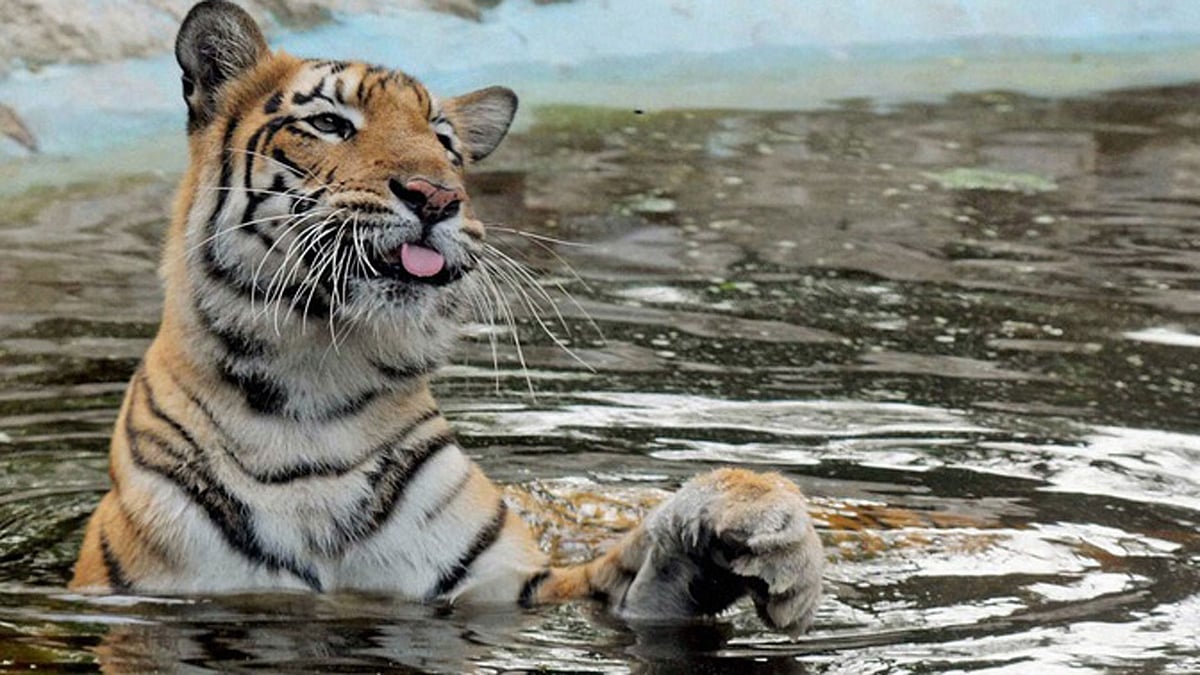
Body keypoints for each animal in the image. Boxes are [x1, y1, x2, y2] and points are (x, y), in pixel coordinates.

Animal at [70, 0, 824, 635]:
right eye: (330, 124)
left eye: (446, 144)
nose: (436, 196)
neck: (314, 386)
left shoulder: (512, 589)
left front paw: (752, 521)